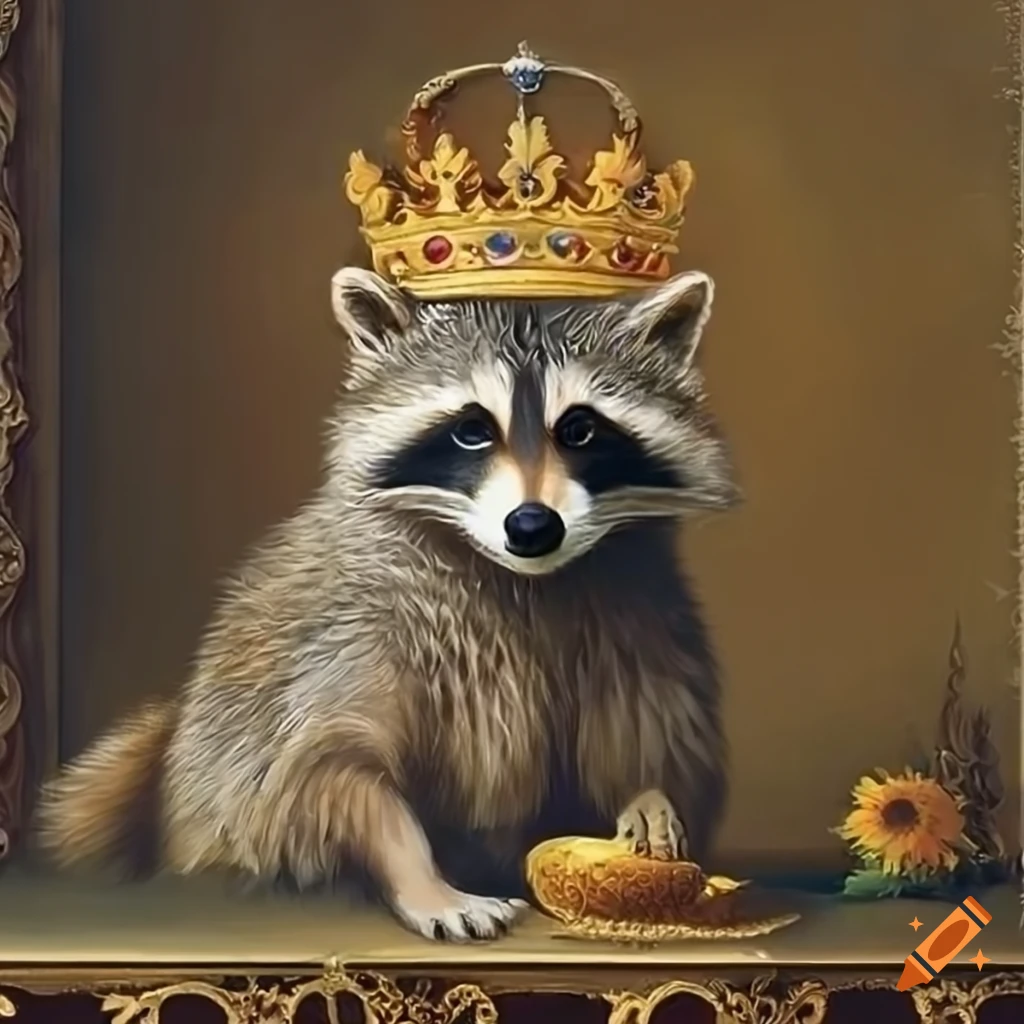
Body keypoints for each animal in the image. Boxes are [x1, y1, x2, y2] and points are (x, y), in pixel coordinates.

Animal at [37, 266, 739, 942]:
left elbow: (641, 750)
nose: (532, 526)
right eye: (471, 430)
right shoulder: (356, 629)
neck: (527, 581)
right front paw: (423, 876)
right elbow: (334, 771)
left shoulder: (641, 627)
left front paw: (645, 794)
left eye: (580, 429)